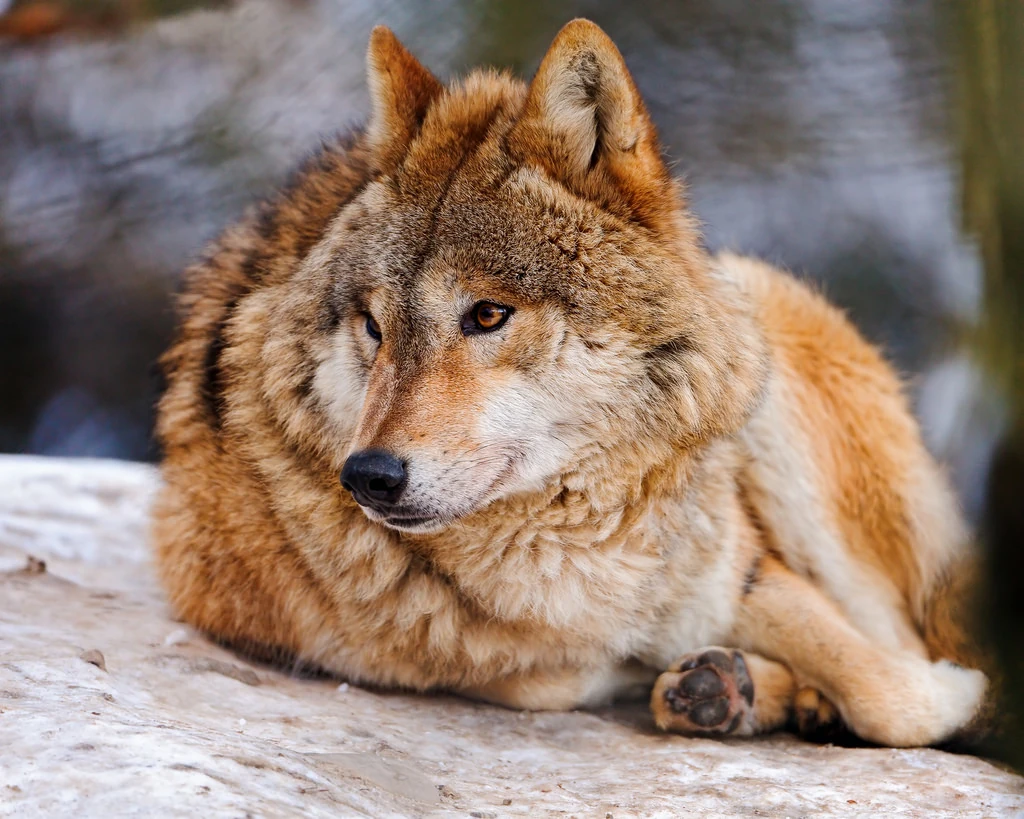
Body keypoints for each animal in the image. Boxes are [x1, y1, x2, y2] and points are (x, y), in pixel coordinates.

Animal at [154, 19, 991, 747]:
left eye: (488, 314)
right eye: (373, 325)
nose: (369, 475)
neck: (574, 536)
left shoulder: (737, 568)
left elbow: (896, 694)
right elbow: (553, 671)